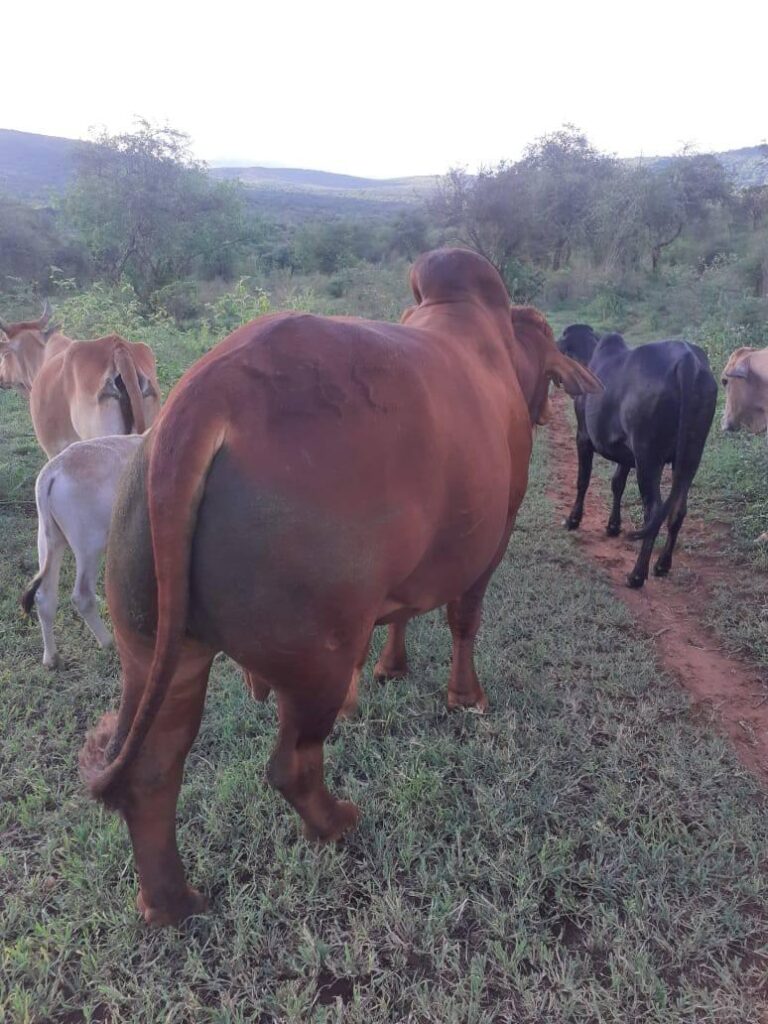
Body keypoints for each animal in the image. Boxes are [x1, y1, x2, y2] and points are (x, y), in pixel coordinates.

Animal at [21, 434, 145, 668]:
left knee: (45, 598)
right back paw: (108, 641)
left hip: (49, 539)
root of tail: (53, 471)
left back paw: (51, 658)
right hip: (89, 544)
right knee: (82, 595)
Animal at [79, 248, 602, 926]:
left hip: (156, 650)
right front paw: (465, 696)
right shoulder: (491, 540)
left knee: (152, 771)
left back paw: (172, 901)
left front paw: (389, 668)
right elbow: (464, 621)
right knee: (291, 766)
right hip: (313, 658)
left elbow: (400, 615)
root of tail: (203, 399)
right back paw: (335, 823)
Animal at [558, 323, 717, 588]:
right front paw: (613, 526)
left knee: (653, 510)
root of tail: (688, 362)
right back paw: (662, 565)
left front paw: (573, 520)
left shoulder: (583, 437)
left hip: (648, 458)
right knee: (677, 510)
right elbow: (617, 484)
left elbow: (583, 481)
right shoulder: (625, 453)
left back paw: (637, 574)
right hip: (690, 457)